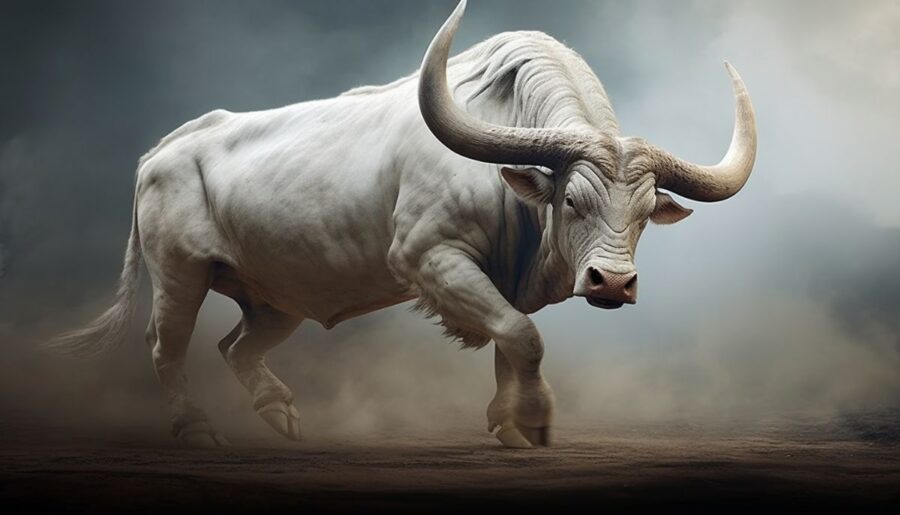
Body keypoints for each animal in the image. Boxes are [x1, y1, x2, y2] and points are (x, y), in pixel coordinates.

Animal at [47, 1, 756, 448]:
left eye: (644, 214)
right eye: (574, 201)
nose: (612, 283)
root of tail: (162, 152)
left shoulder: (499, 280)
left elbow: (509, 341)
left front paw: (510, 424)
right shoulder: (429, 259)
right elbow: (521, 336)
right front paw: (533, 423)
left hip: (277, 300)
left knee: (236, 346)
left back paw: (281, 414)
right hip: (180, 275)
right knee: (165, 345)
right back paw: (198, 429)